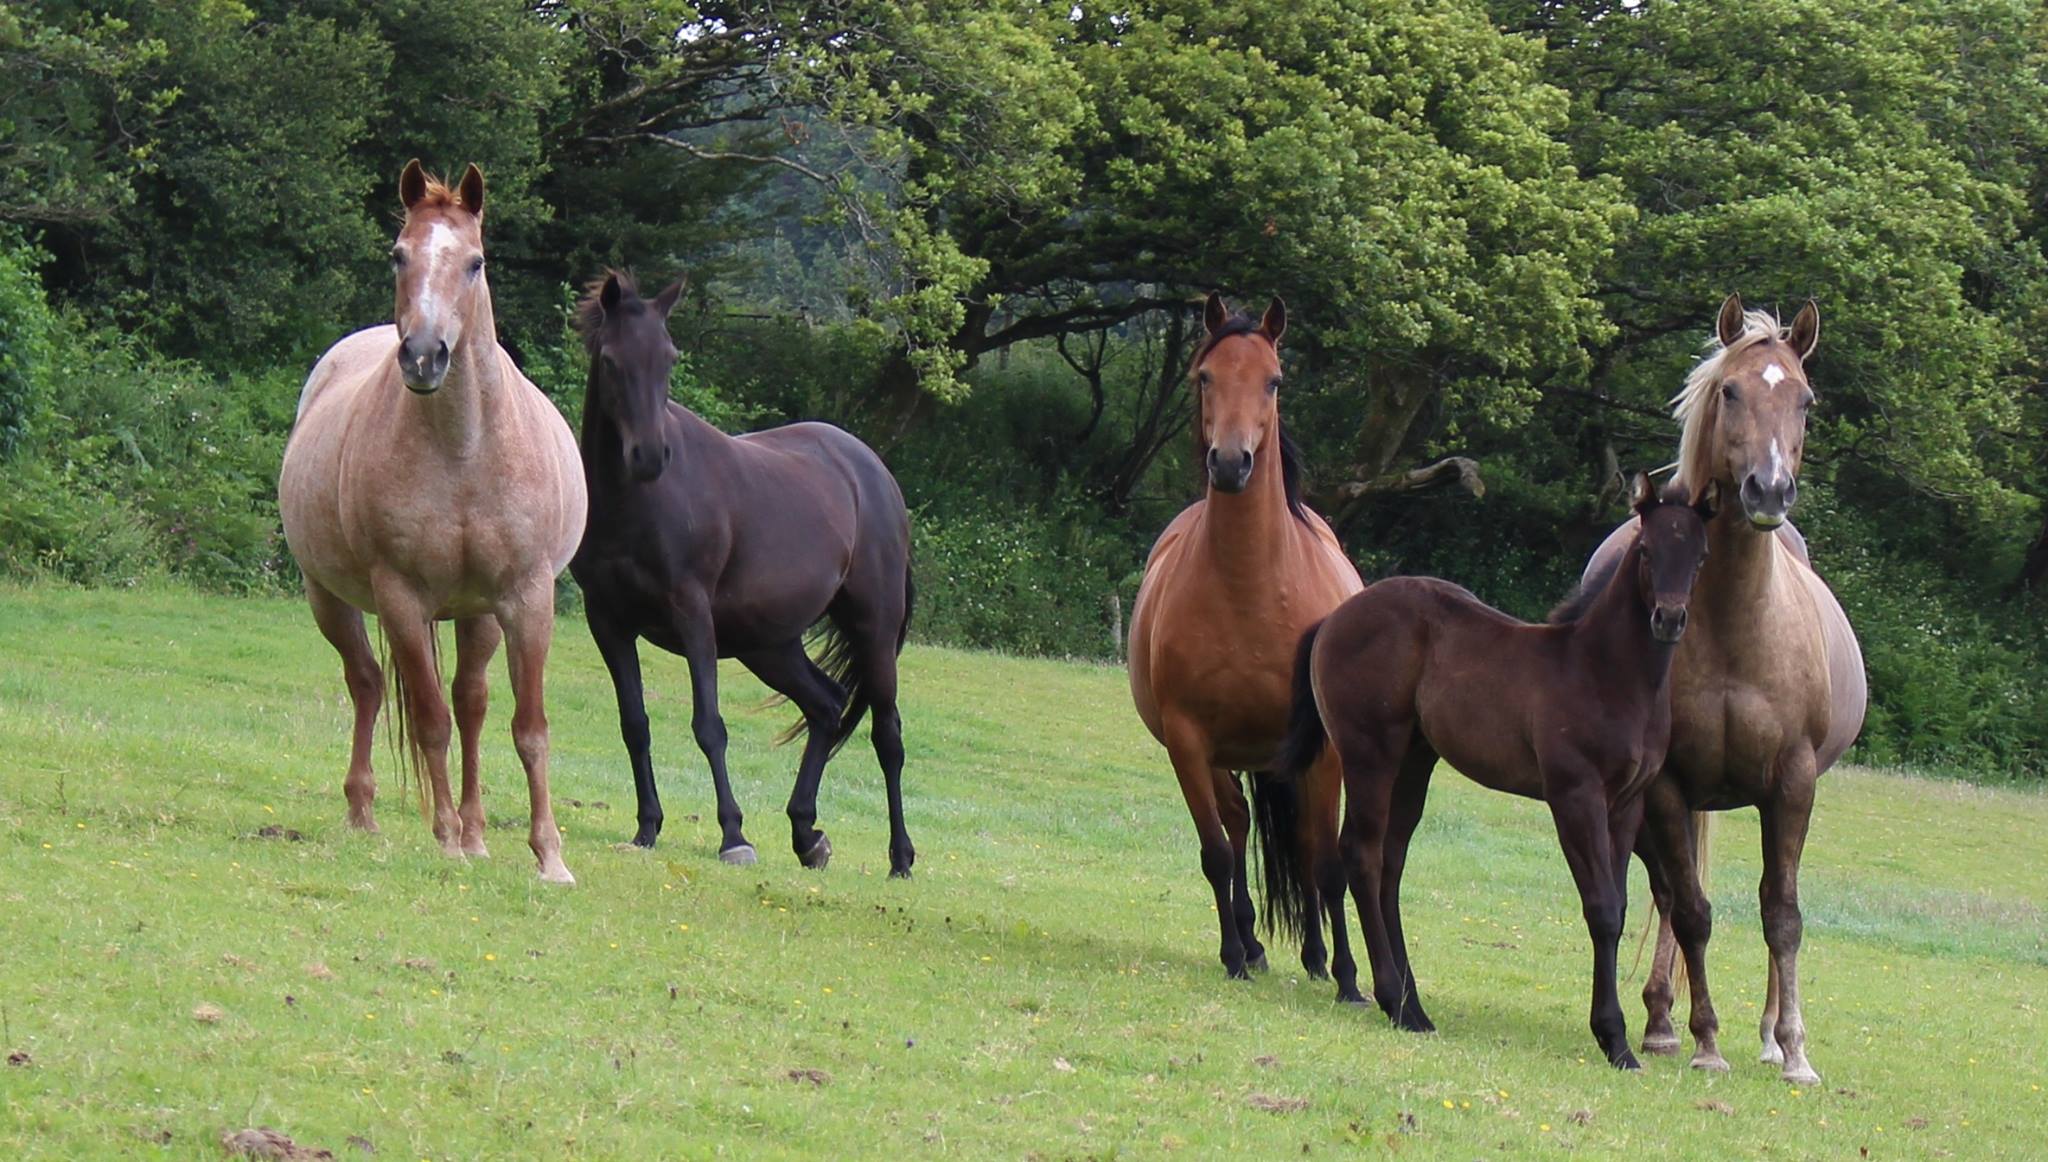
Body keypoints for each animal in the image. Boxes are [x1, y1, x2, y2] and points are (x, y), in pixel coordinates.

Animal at [279, 161, 587, 884]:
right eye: (399, 254)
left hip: (477, 613)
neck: (465, 449)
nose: (423, 356)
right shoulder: (401, 598)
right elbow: (428, 719)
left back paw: (477, 833)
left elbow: (528, 728)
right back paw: (366, 813)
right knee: (368, 685)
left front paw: (548, 856)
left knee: (472, 702)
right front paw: (445, 837)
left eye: (475, 262)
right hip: (329, 597)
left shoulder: (525, 598)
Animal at [568, 272, 915, 875]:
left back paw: (900, 856)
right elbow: (635, 725)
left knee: (887, 736)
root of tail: (875, 476)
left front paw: (733, 834)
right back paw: (806, 834)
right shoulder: (607, 621)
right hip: (768, 645)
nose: (650, 456)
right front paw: (646, 828)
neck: (634, 505)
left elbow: (709, 726)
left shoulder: (691, 614)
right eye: (611, 360)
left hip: (873, 628)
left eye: (670, 357)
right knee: (826, 706)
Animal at [1127, 293, 1364, 989]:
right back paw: (1253, 944)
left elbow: (1327, 863)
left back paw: (1316, 957)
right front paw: (1235, 953)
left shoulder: (1324, 751)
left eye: (1274, 381)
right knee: (1237, 828)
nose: (1231, 464)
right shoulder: (1189, 742)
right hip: (1227, 756)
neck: (1253, 591)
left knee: (1306, 845)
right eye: (1206, 377)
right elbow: (1217, 852)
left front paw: (1349, 977)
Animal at [1262, 475, 1715, 1067]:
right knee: (1361, 855)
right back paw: (1390, 997)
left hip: (1415, 761)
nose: (1669, 618)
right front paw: (1613, 1037)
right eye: (1645, 551)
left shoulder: (1626, 804)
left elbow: (1615, 904)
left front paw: (1616, 1041)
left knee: (1390, 865)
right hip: (1370, 753)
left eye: (1700, 556)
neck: (1604, 672)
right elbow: (1601, 908)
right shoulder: (1575, 796)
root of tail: (1333, 618)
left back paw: (1414, 1007)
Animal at [1584, 294, 1865, 1084]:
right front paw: (1704, 1040)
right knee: (1667, 892)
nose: (1768, 491)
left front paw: (1794, 1048)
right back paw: (1660, 1022)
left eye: (1805, 400)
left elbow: (1783, 913)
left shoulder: (1793, 782)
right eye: (1732, 391)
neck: (1738, 625)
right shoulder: (1668, 785)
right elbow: (1693, 910)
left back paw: (1767, 1035)